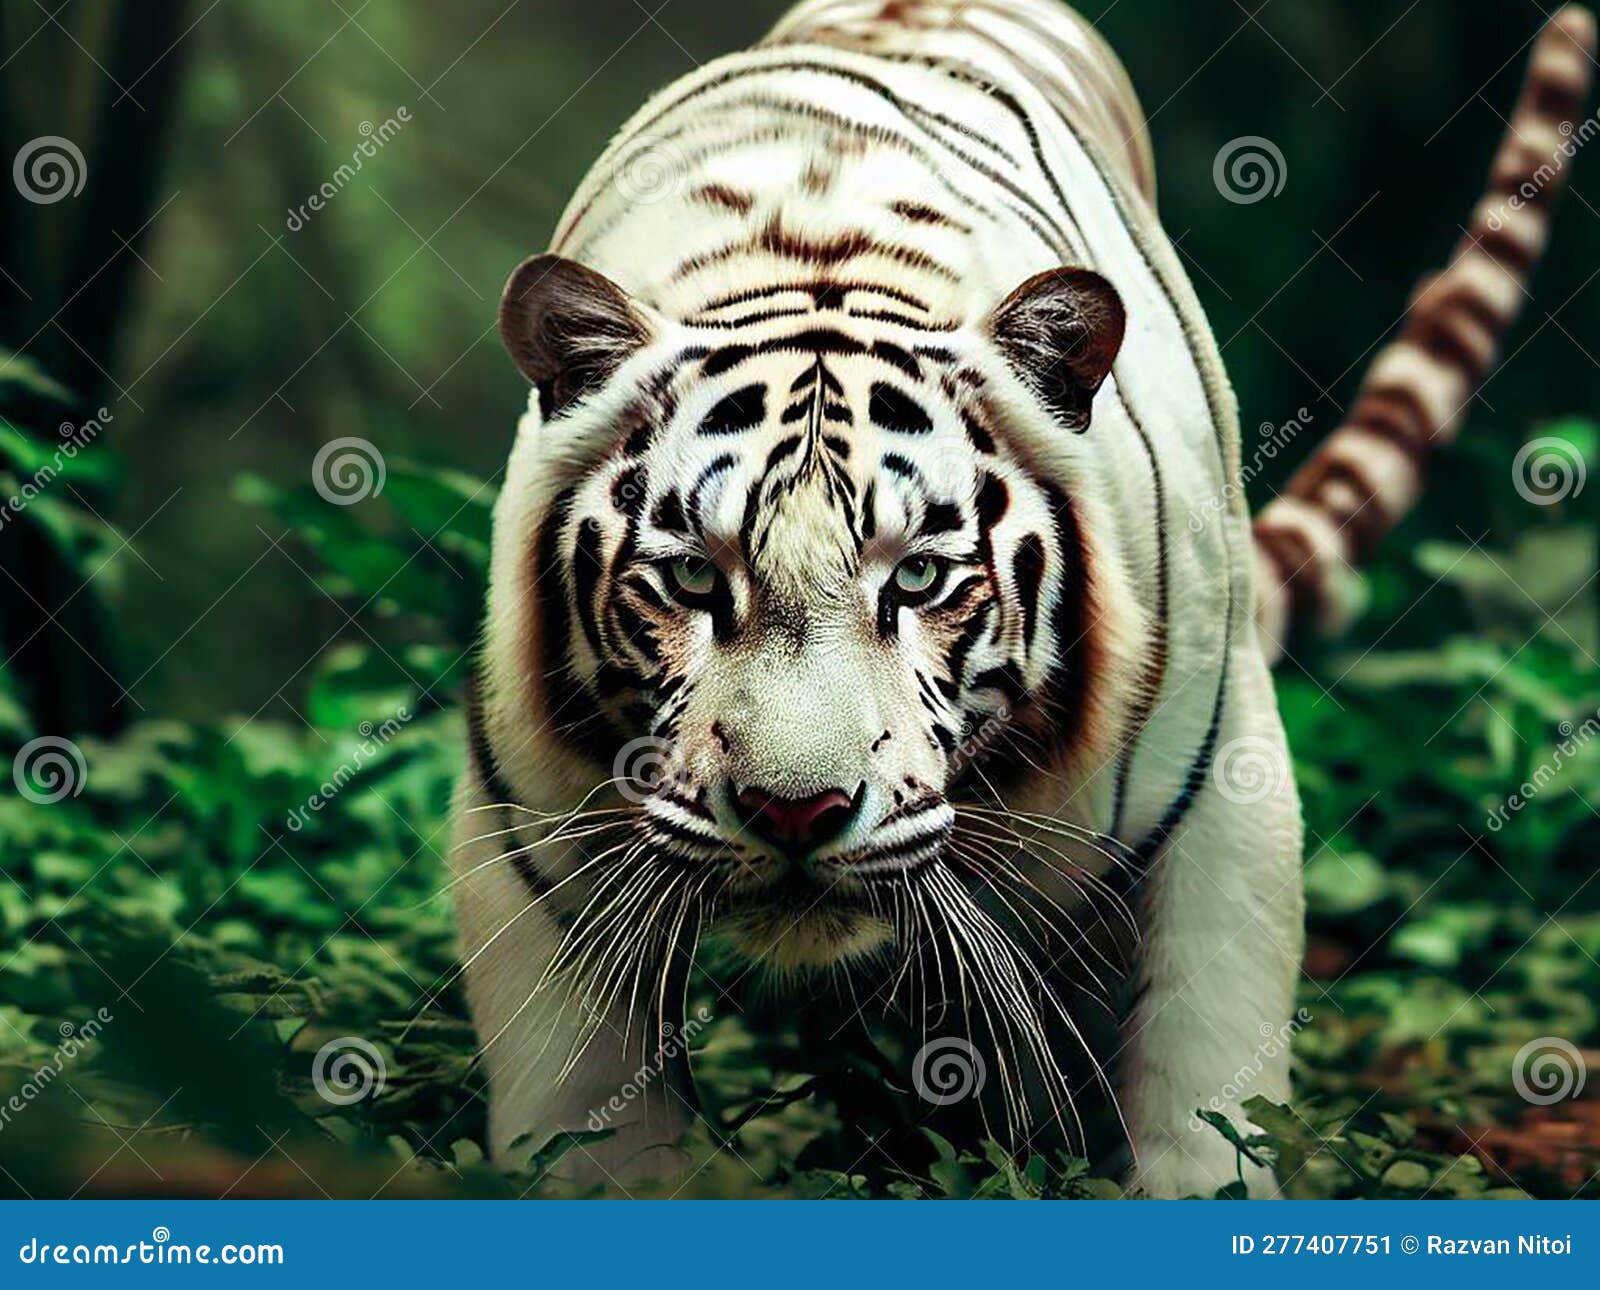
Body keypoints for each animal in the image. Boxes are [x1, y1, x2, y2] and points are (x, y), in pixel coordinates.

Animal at [450, 0, 1594, 1197]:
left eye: (917, 576)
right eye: (690, 577)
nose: (794, 813)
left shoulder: (1218, 779)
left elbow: (1206, 1077)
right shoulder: (530, 841)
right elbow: (583, 1123)